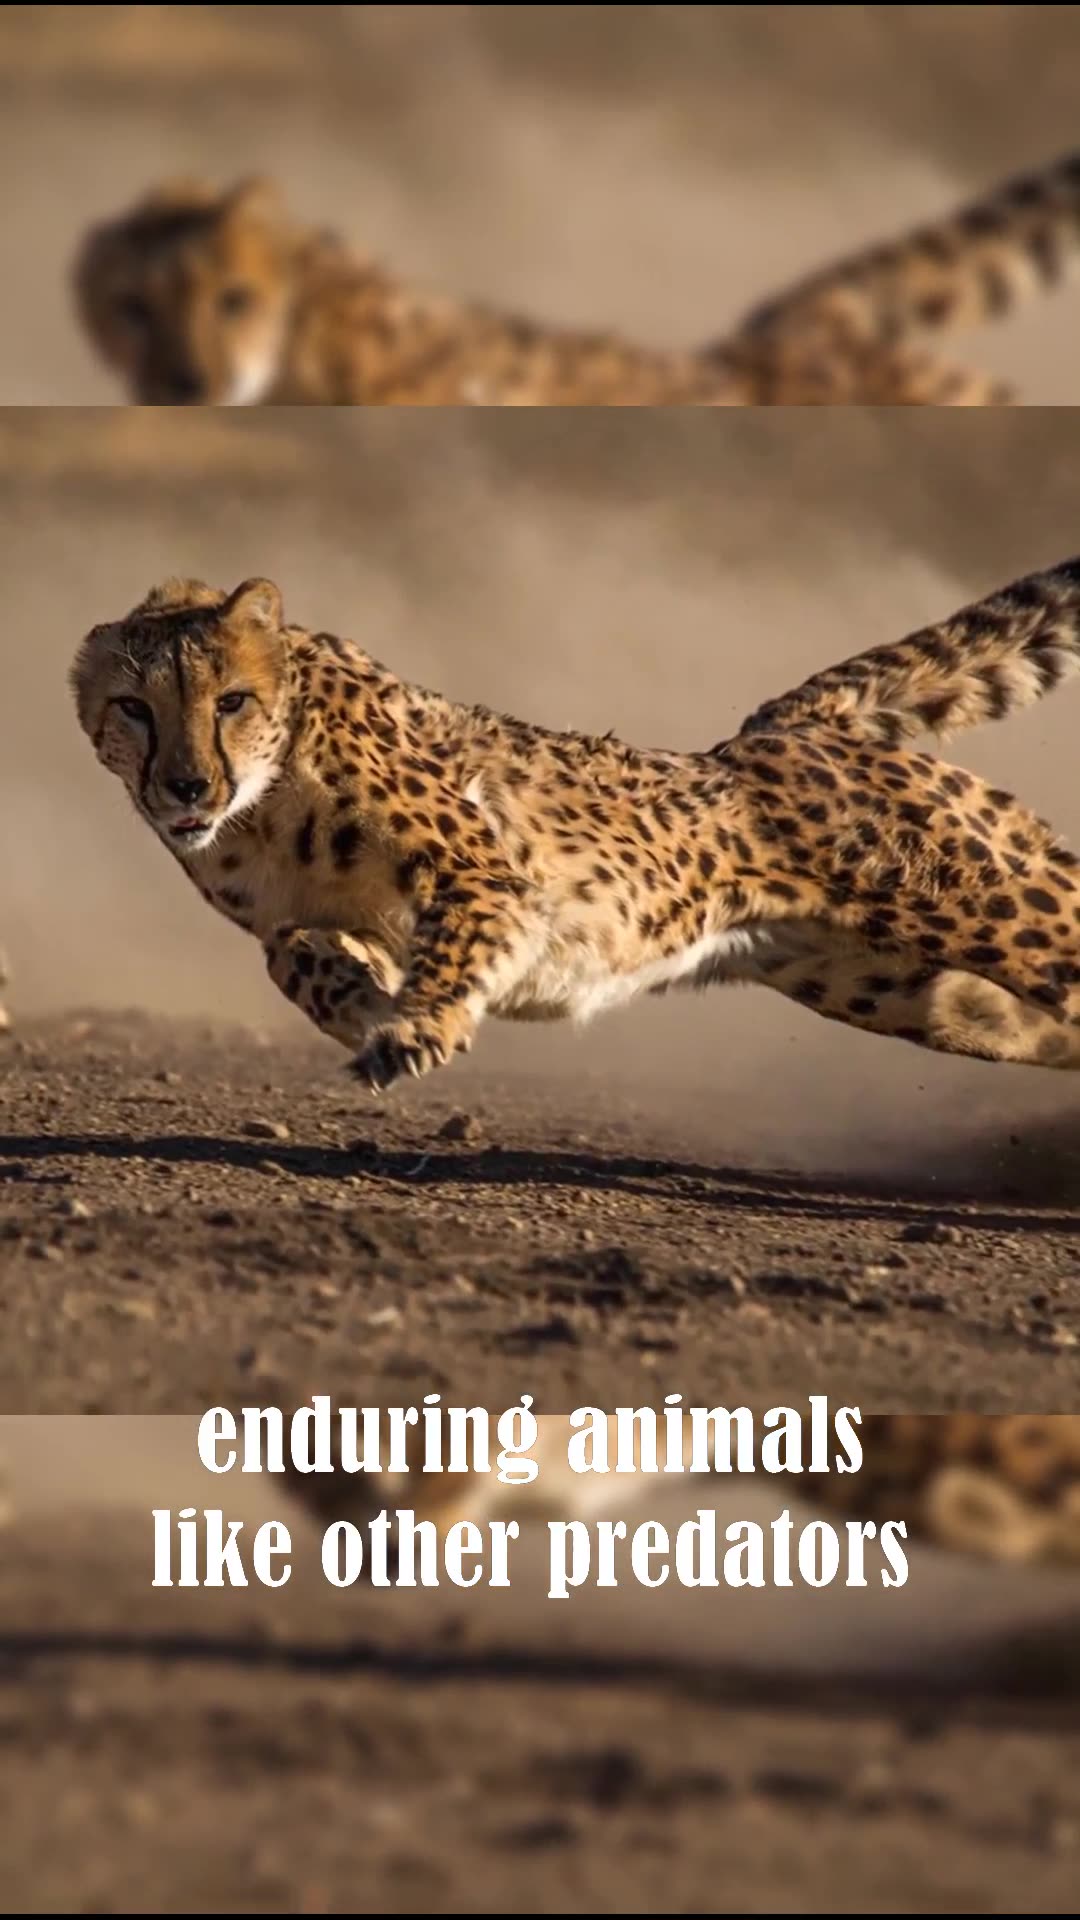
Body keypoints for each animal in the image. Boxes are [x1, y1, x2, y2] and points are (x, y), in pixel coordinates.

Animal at [71, 557, 1080, 1110]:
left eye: (229, 701)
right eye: (133, 709)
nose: (186, 784)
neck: (264, 800)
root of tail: (784, 729)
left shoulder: (484, 873)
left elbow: (454, 943)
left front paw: (414, 1028)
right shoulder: (296, 916)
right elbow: (290, 955)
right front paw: (359, 1000)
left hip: (996, 912)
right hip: (902, 988)